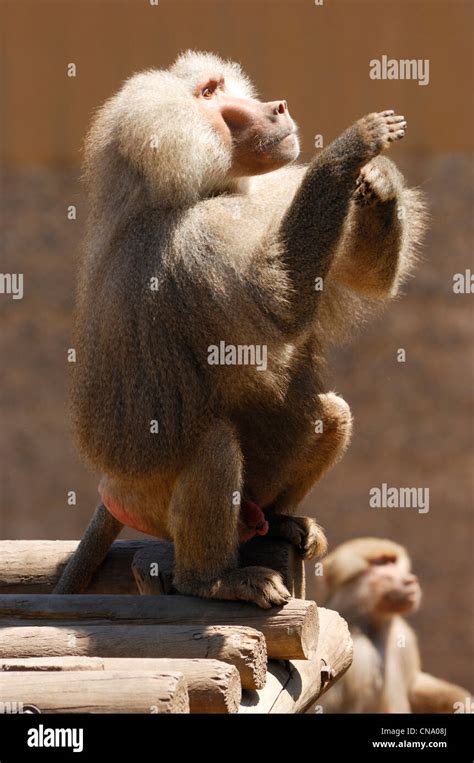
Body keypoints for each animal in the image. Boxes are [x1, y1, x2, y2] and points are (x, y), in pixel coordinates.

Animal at [55, 51, 426, 607]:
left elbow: (364, 277)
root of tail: (110, 488)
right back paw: (212, 580)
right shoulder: (193, 244)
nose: (279, 107)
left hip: (253, 495)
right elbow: (280, 304)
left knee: (332, 414)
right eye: (210, 95)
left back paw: (283, 524)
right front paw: (353, 146)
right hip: (149, 503)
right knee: (212, 447)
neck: (205, 187)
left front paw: (377, 182)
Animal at [316, 538, 471, 713]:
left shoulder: (402, 635)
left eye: (392, 561)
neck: (374, 625)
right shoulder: (357, 656)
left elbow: (414, 686)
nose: (410, 580)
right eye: (380, 563)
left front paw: (464, 702)